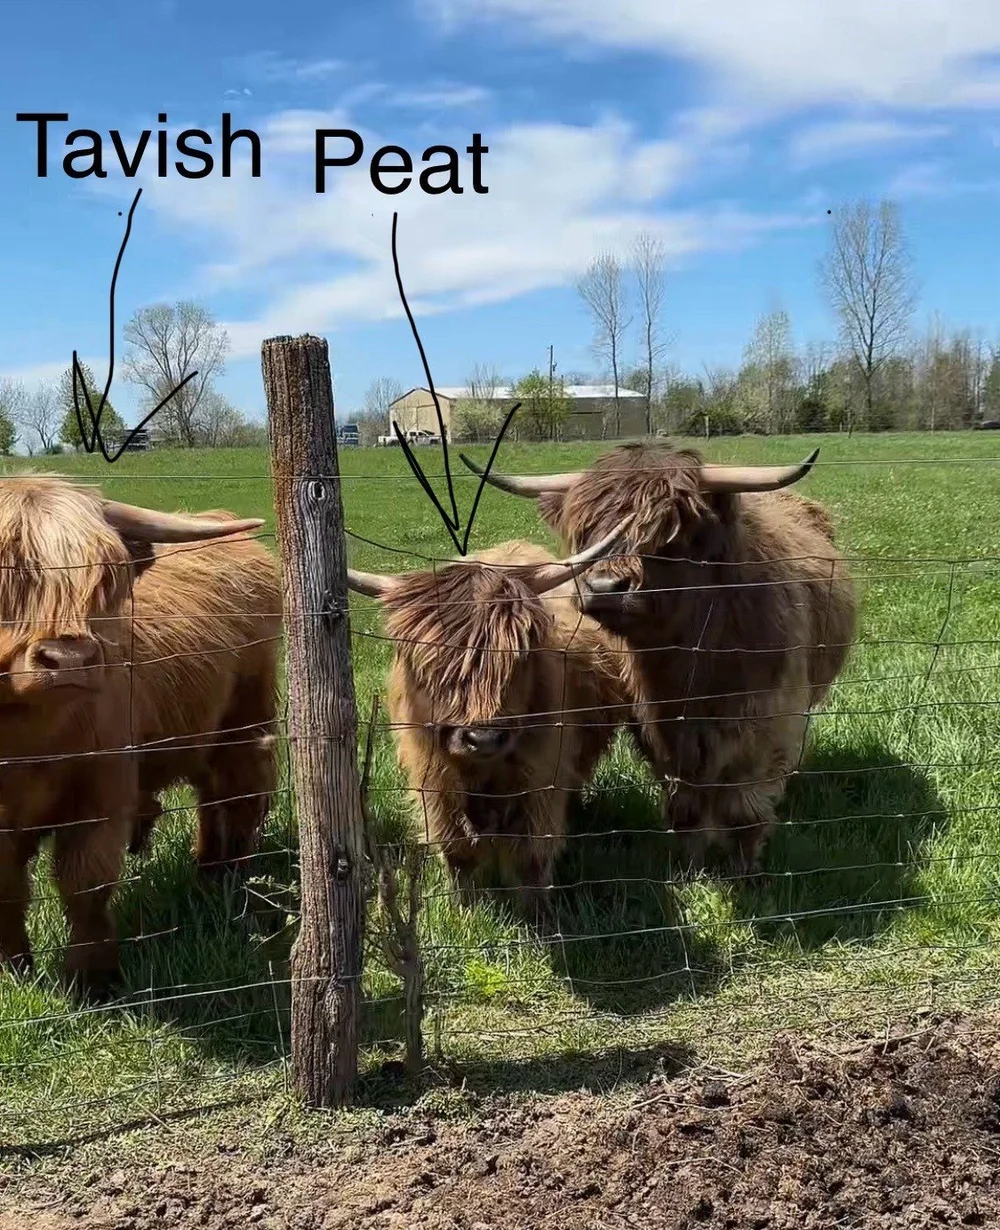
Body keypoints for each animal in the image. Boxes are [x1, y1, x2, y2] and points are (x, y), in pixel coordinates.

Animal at [0, 474, 265, 996]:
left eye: (104, 577)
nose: (70, 660)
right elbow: (6, 894)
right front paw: (15, 970)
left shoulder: (102, 794)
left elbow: (85, 885)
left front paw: (92, 981)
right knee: (209, 795)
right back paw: (207, 869)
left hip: (246, 718)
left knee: (242, 791)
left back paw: (231, 880)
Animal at [345, 522, 632, 923]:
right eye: (433, 663)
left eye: (519, 658)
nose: (482, 738)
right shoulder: (433, 782)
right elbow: (458, 852)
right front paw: (463, 910)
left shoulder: (541, 777)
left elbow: (531, 856)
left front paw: (540, 918)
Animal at [460, 442, 857, 874]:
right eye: (587, 532)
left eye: (669, 536)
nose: (605, 587)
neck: (692, 666)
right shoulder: (657, 727)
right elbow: (684, 804)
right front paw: (691, 866)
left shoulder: (767, 723)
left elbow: (744, 810)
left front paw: (747, 870)